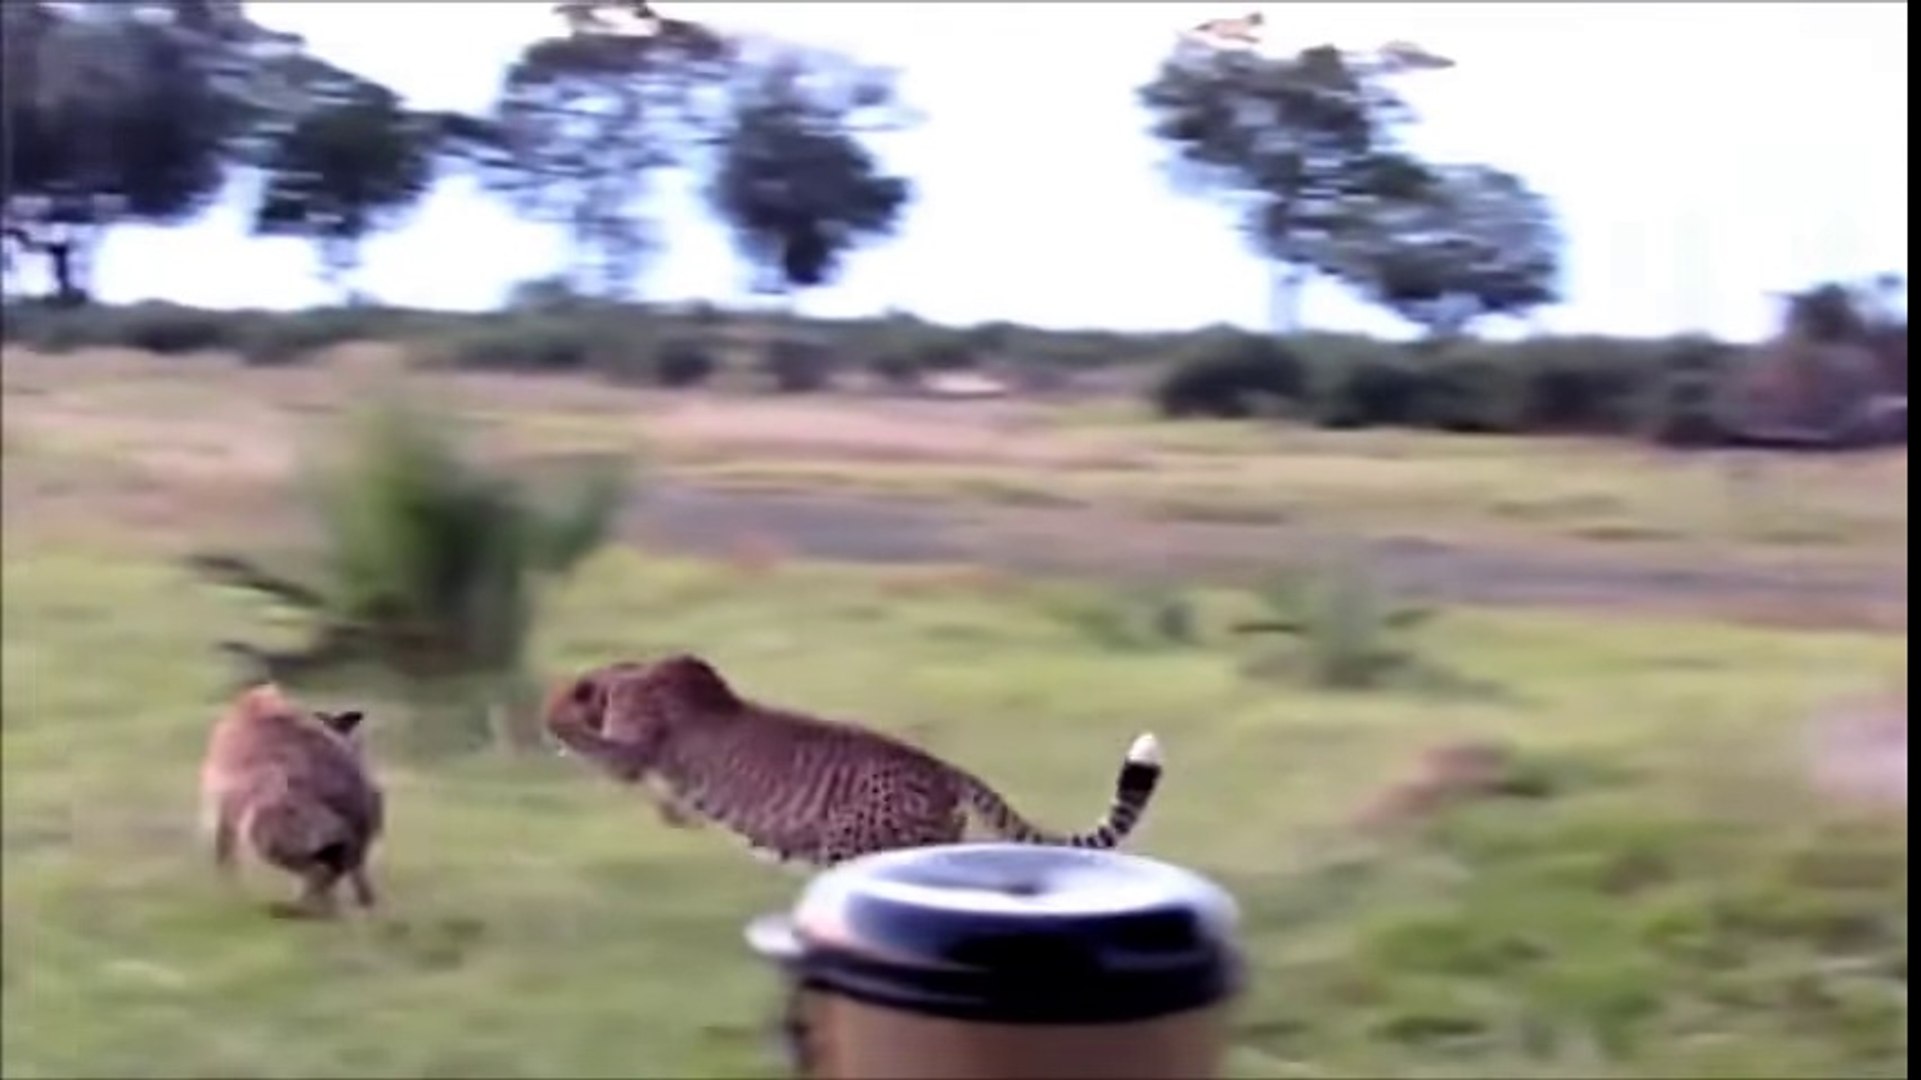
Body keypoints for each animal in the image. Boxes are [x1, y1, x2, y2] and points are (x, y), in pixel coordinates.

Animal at [543, 654, 1164, 868]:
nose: (546, 719)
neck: (630, 673)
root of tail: (940, 766)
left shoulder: (633, 752)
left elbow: (604, 750)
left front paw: (556, 718)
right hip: (928, 842)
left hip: (851, 842)